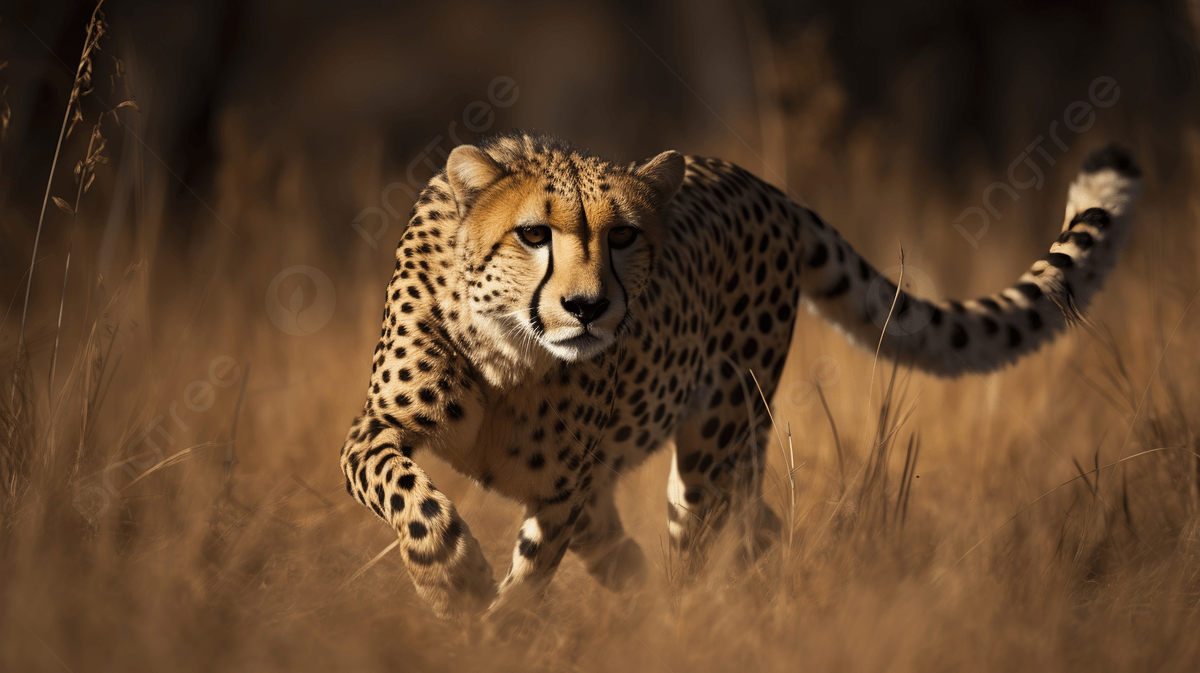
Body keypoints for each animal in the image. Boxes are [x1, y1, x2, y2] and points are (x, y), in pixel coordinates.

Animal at [338, 132, 1141, 621]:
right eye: (533, 234)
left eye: (623, 235)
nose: (587, 307)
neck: (512, 352)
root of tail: (765, 186)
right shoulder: (378, 427)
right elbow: (405, 489)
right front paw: (450, 576)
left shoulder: (564, 491)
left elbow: (531, 577)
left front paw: (488, 618)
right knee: (698, 542)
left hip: (718, 442)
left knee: (720, 538)